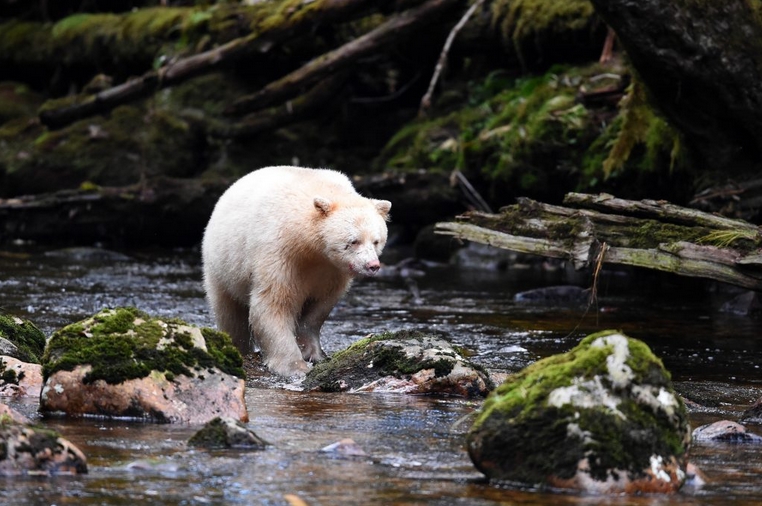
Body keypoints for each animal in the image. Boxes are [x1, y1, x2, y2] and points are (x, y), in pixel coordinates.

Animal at [202, 166, 391, 378]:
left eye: (376, 241)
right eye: (353, 241)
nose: (372, 265)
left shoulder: (332, 271)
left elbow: (320, 305)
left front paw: (313, 352)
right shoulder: (279, 253)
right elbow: (273, 304)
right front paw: (294, 366)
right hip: (221, 265)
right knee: (229, 313)